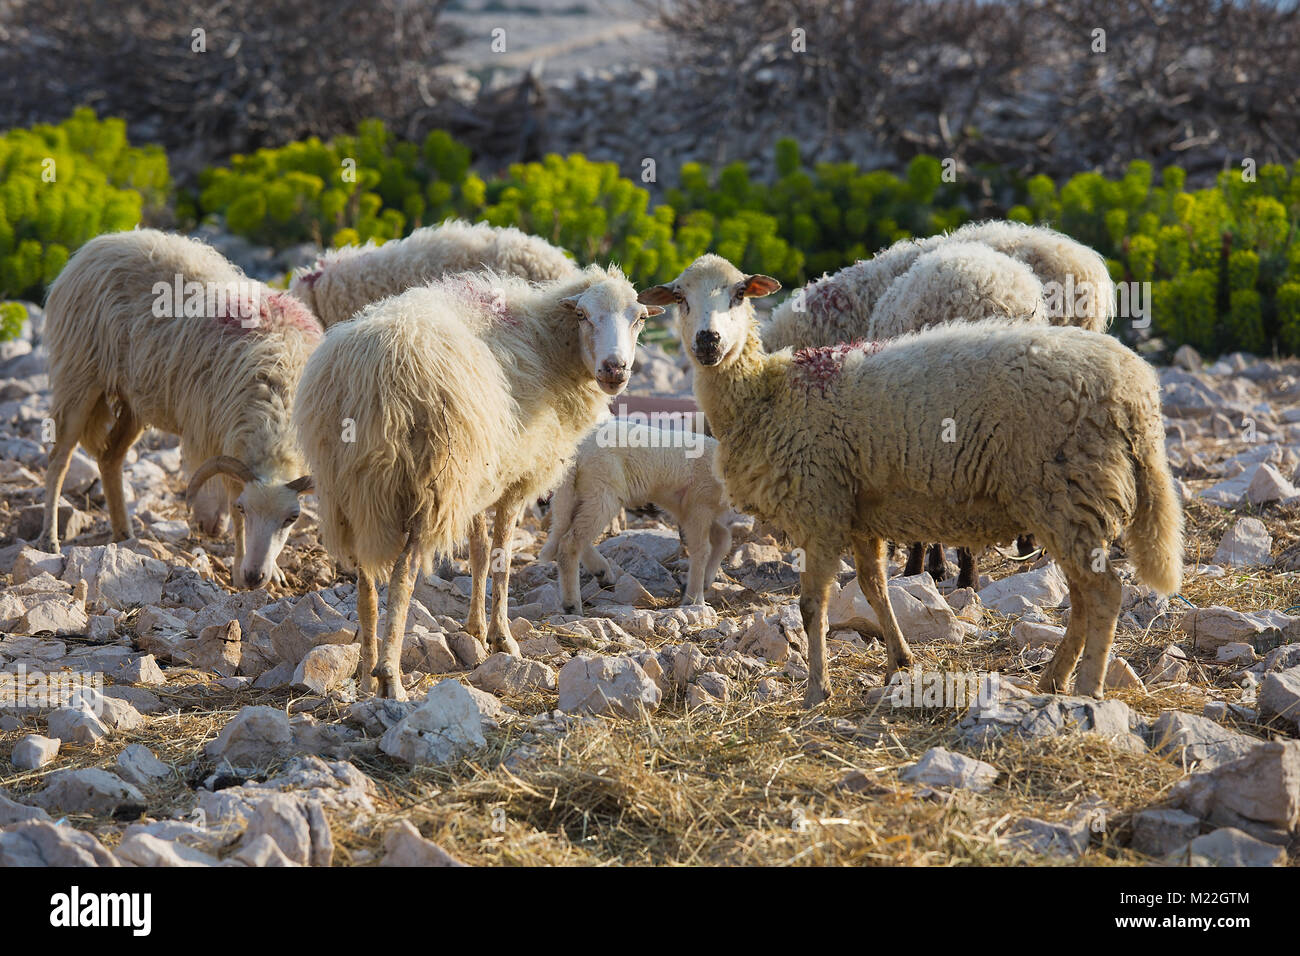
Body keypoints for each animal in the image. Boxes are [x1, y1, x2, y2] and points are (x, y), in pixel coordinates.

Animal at [38, 229, 321, 588]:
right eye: (244, 508)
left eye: (292, 517)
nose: (256, 576)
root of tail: (101, 242)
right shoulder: (225, 440)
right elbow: (233, 508)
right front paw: (239, 569)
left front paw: (275, 572)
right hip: (79, 376)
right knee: (59, 458)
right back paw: (50, 539)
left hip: (135, 400)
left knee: (110, 458)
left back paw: (124, 534)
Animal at [294, 265, 658, 698]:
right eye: (583, 316)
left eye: (639, 318)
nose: (614, 369)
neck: (547, 343)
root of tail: (363, 375)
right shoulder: (513, 479)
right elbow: (501, 559)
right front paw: (503, 639)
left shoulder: (479, 479)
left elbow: (480, 554)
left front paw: (476, 630)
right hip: (430, 483)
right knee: (403, 577)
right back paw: (391, 679)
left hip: (351, 492)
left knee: (365, 584)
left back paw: (367, 678)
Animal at [537, 418, 732, 612]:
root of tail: (576, 448)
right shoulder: (699, 506)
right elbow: (702, 550)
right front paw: (695, 600)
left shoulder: (690, 511)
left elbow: (723, 539)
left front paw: (704, 583)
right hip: (602, 490)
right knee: (570, 542)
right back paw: (572, 605)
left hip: (575, 493)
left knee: (566, 533)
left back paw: (603, 574)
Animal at [639, 254, 1183, 708]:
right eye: (681, 298)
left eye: (738, 294)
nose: (707, 341)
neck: (767, 394)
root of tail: (1137, 389)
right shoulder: (858, 512)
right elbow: (874, 587)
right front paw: (899, 661)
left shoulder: (820, 507)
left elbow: (813, 606)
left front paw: (817, 689)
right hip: (1064, 503)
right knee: (1084, 596)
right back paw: (1054, 678)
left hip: (1067, 491)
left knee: (1104, 593)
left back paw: (1088, 687)